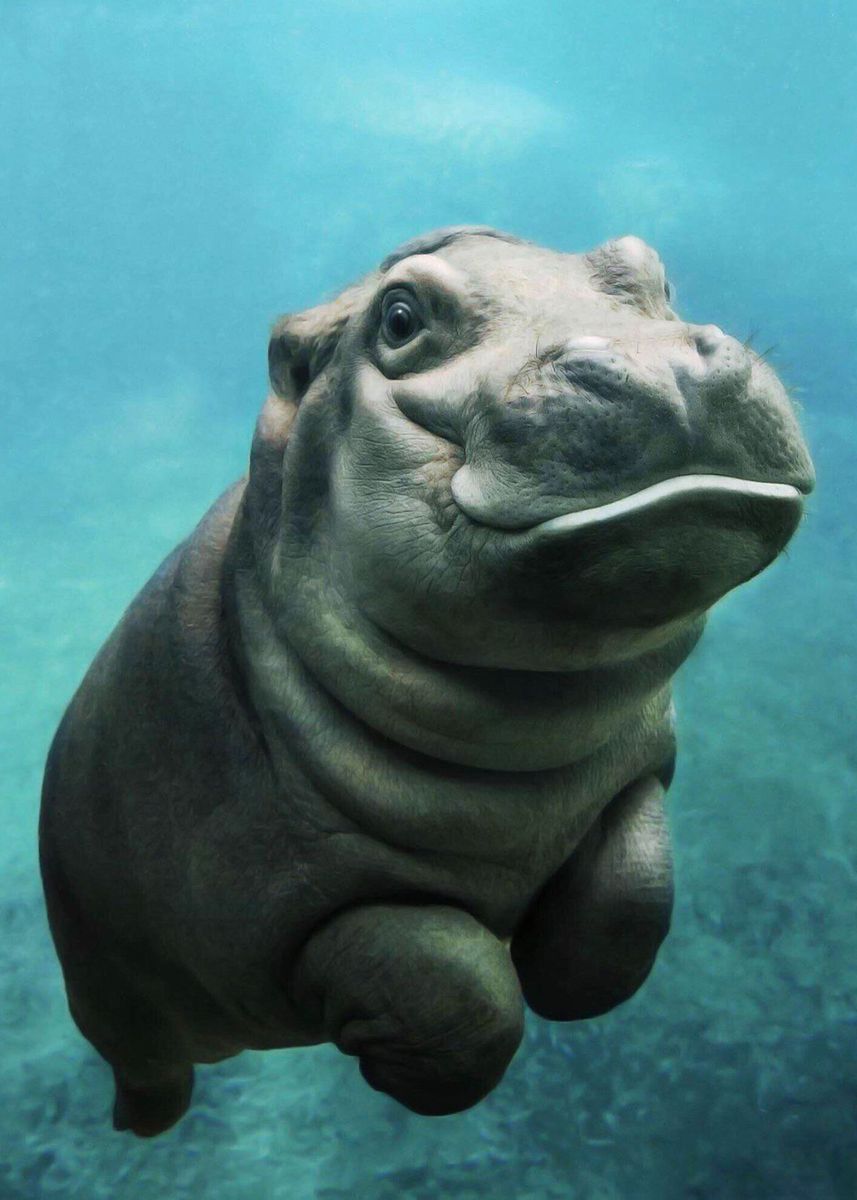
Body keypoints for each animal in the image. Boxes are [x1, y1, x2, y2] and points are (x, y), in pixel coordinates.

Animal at [39, 226, 815, 1138]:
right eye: (400, 318)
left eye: (651, 273)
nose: (660, 362)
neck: (521, 734)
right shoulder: (274, 902)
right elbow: (456, 985)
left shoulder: (634, 773)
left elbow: (633, 890)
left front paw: (563, 979)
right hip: (108, 989)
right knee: (145, 1061)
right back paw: (143, 1125)